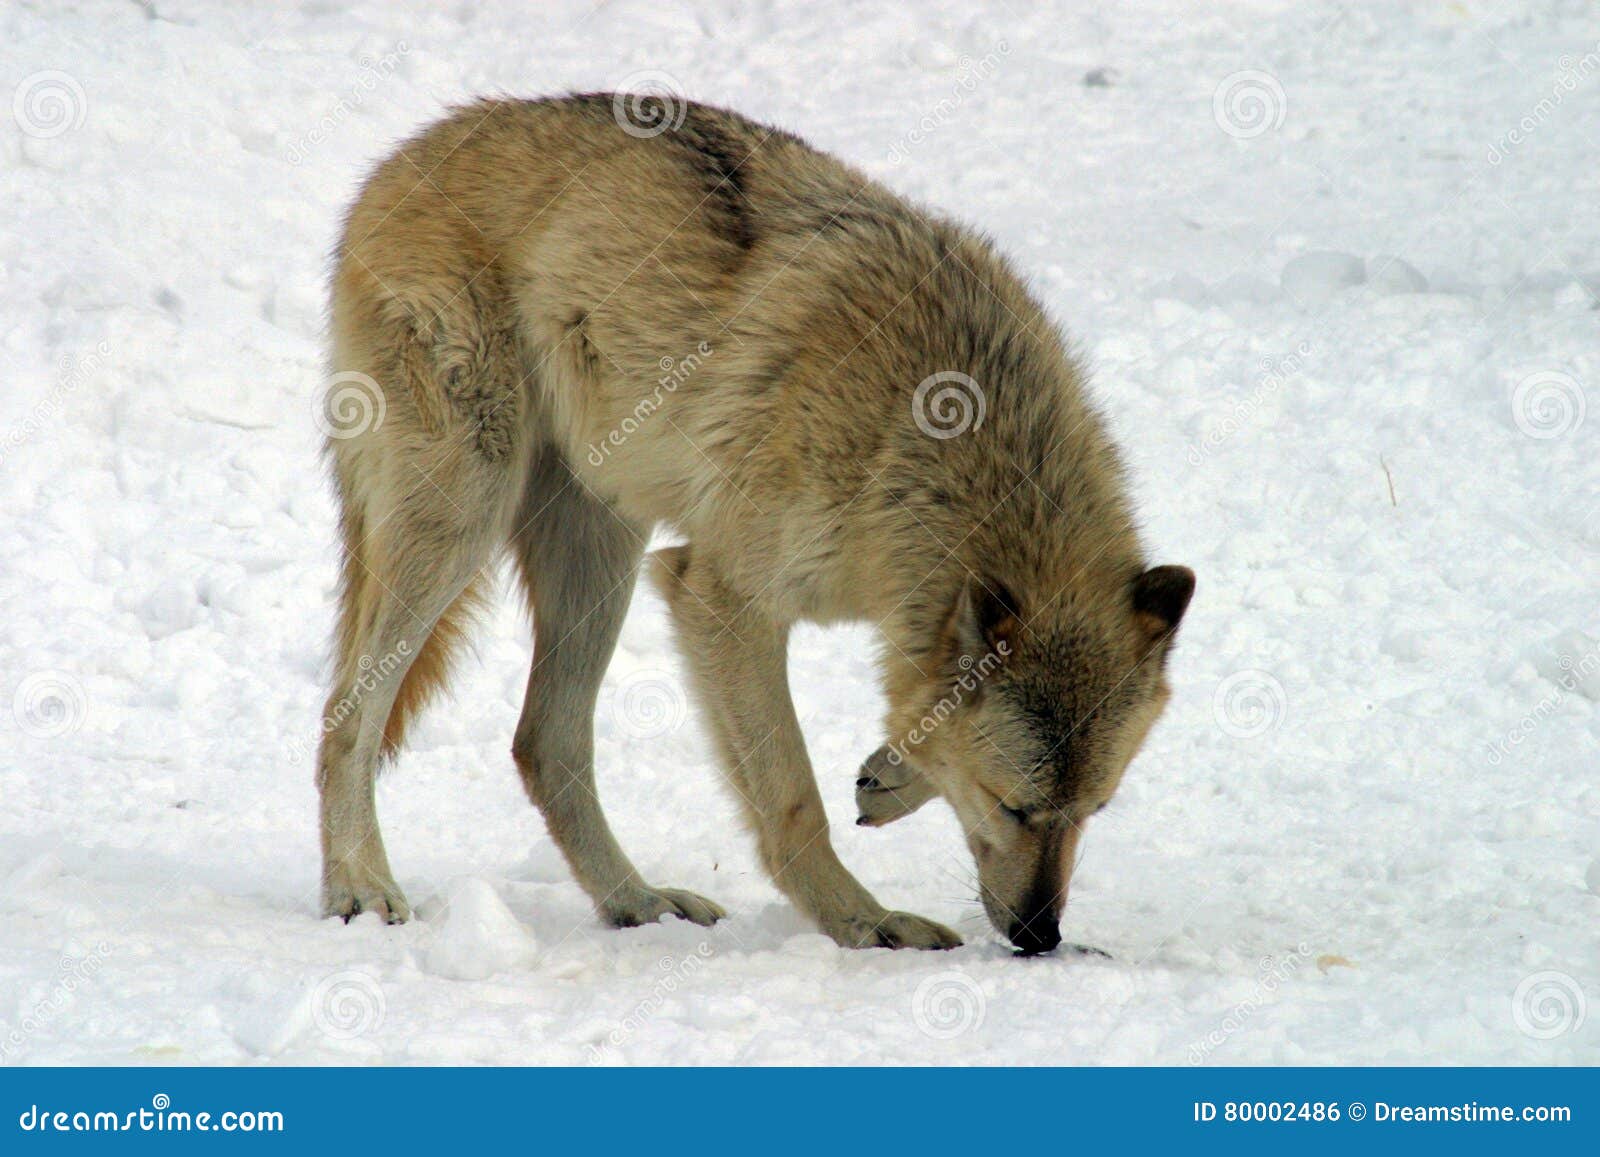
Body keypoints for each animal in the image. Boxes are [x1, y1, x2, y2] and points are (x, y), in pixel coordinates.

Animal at [314, 93, 1193, 954]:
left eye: (1092, 812)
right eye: (1013, 805)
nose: (1041, 934)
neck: (912, 440)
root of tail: (393, 164)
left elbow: (909, 719)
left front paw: (889, 774)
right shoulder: (720, 598)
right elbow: (794, 798)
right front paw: (866, 924)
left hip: (603, 549)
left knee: (543, 742)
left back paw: (638, 902)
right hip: (465, 515)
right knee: (347, 716)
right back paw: (361, 886)